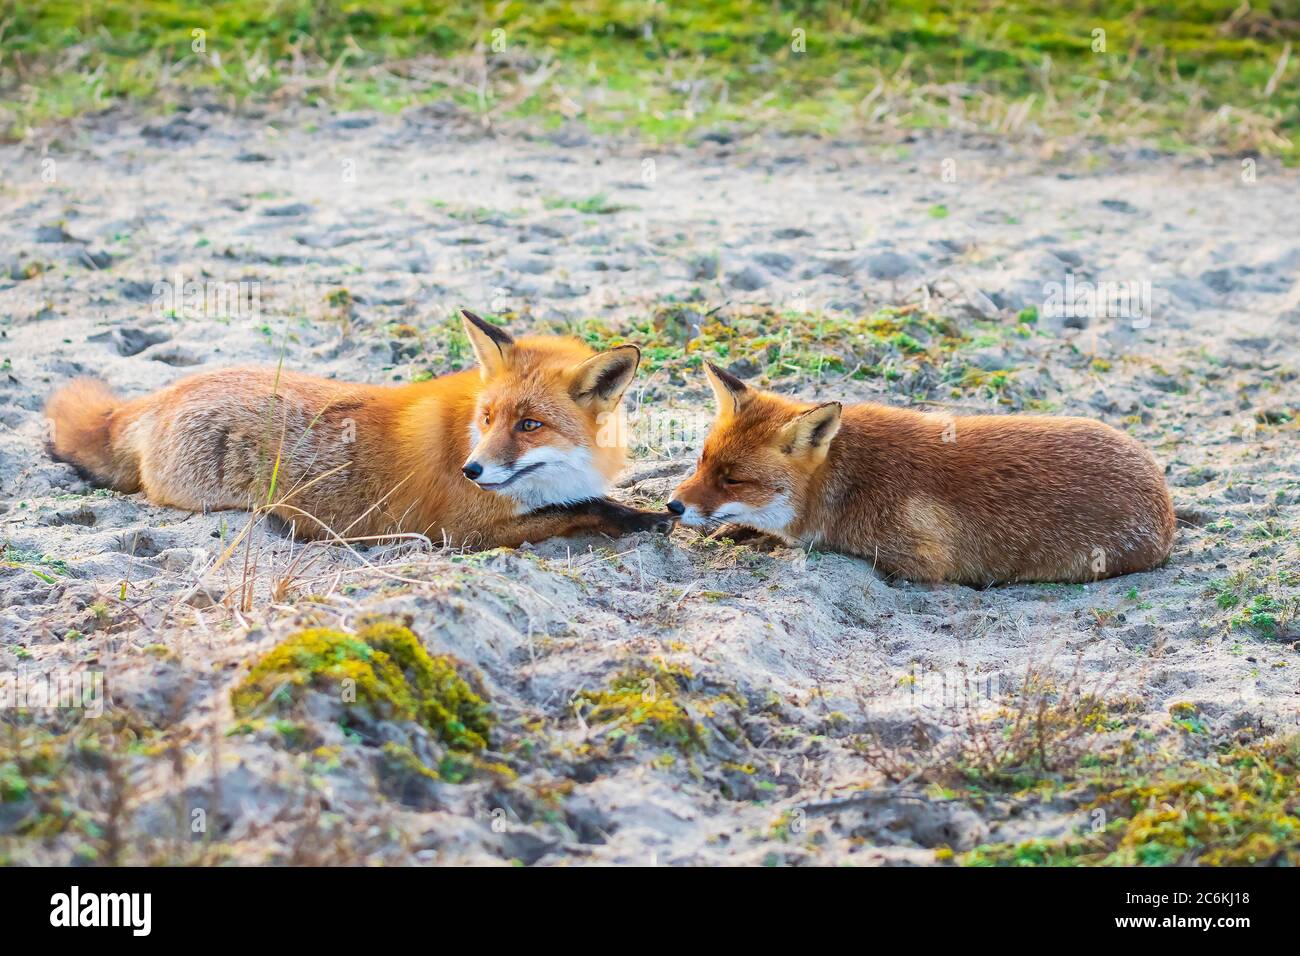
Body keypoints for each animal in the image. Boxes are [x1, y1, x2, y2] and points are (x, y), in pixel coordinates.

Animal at [44, 310, 674, 546]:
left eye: (530, 424)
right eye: (489, 419)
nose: (471, 469)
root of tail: (171, 391)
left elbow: (585, 499)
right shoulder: (462, 530)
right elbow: (582, 509)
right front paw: (638, 518)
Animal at [668, 362, 1176, 586]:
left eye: (734, 479)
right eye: (702, 461)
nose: (672, 506)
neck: (846, 482)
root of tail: (1166, 500)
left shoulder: (922, 560)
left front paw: (763, 540)